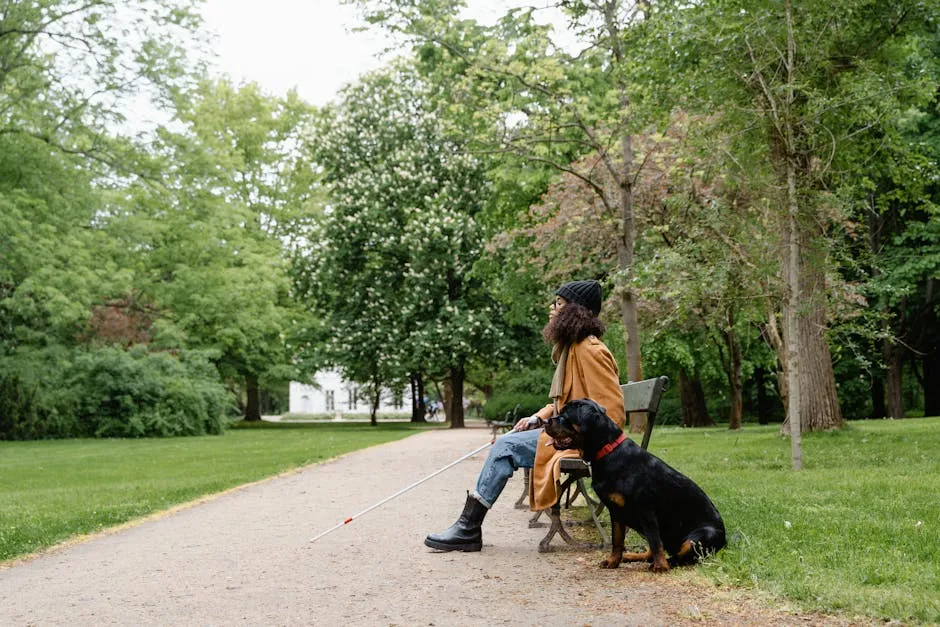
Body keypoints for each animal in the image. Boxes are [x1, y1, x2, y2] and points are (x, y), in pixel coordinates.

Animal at [544, 400, 728, 572]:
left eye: (565, 415)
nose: (545, 421)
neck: (607, 451)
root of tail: (725, 542)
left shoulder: (646, 510)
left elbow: (655, 542)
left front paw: (660, 567)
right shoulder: (615, 511)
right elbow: (617, 540)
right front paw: (613, 561)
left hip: (701, 535)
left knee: (682, 556)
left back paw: (665, 563)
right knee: (655, 550)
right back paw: (632, 556)